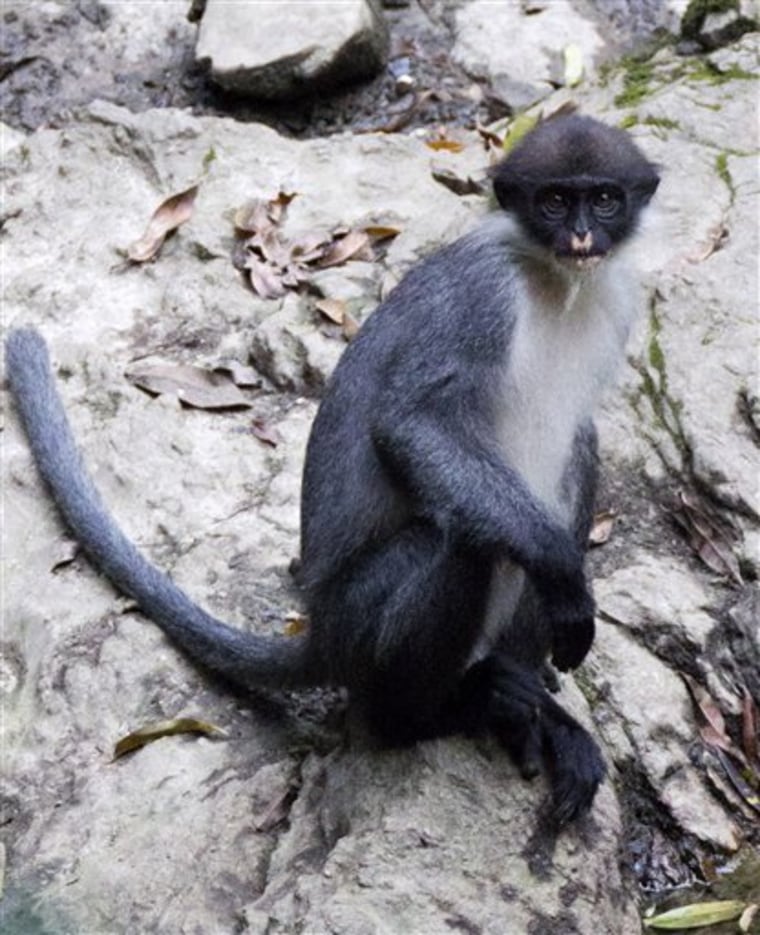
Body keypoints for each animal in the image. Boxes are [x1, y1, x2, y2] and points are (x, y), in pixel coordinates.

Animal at [5, 114, 659, 826]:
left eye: (603, 200)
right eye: (555, 202)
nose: (582, 235)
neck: (554, 284)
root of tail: (320, 633)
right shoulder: (480, 296)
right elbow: (411, 425)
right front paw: (564, 573)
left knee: (577, 450)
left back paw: (523, 702)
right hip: (361, 623)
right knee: (461, 539)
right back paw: (431, 715)